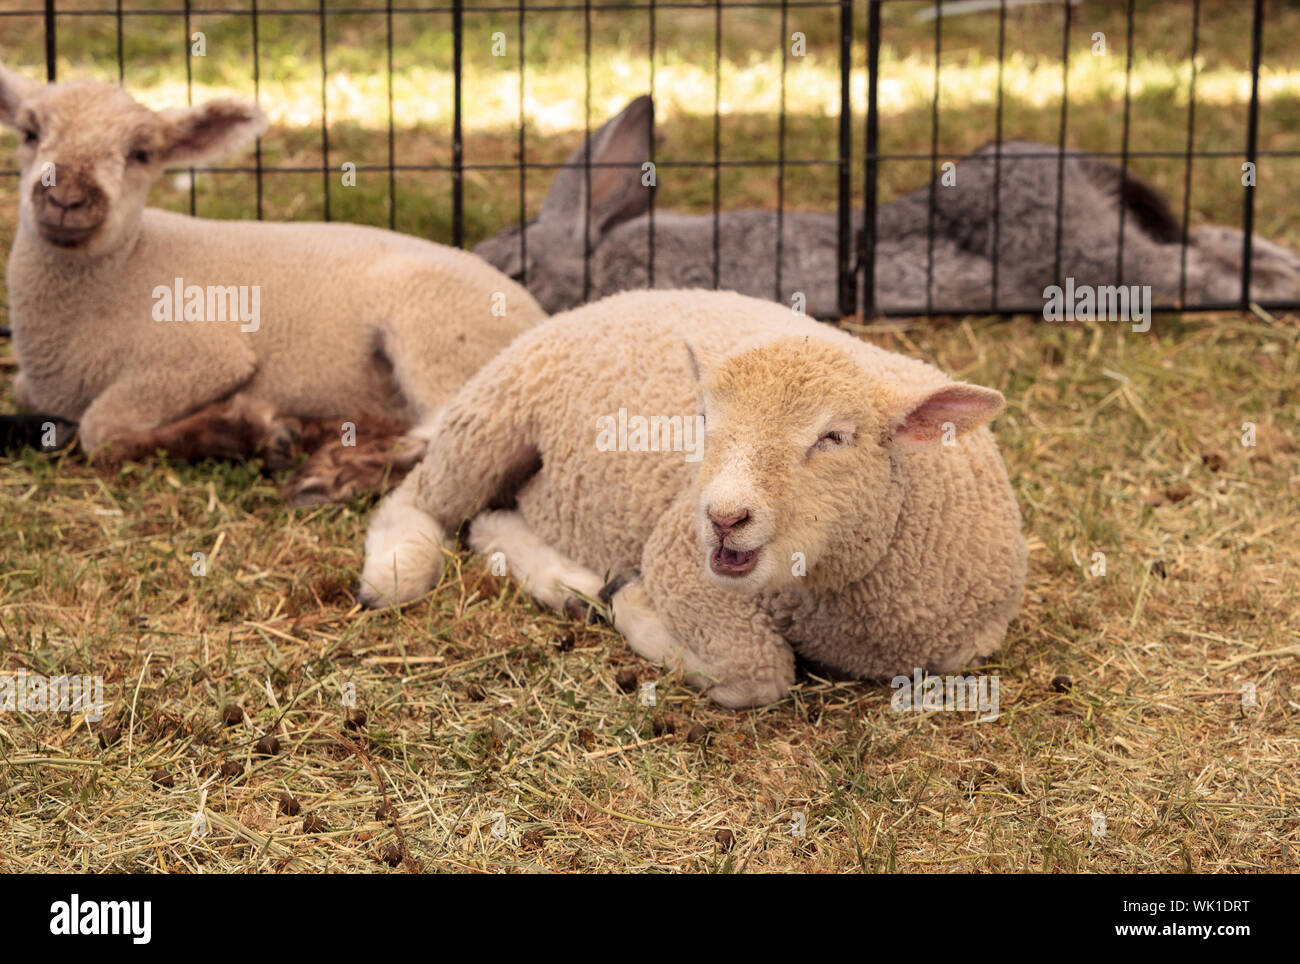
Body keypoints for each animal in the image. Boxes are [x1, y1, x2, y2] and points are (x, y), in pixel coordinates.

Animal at [0, 64, 546, 498]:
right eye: (29, 132)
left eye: (140, 153)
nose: (65, 198)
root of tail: (537, 317)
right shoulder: (38, 386)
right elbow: (33, 397)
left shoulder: (198, 357)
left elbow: (101, 430)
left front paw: (233, 431)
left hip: (437, 330)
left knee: (451, 432)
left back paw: (340, 474)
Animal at [359, 289, 1028, 708]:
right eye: (704, 419)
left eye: (834, 437)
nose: (724, 518)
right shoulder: (678, 551)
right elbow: (756, 671)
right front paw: (636, 607)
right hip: (495, 411)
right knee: (420, 503)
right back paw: (397, 572)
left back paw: (561, 579)